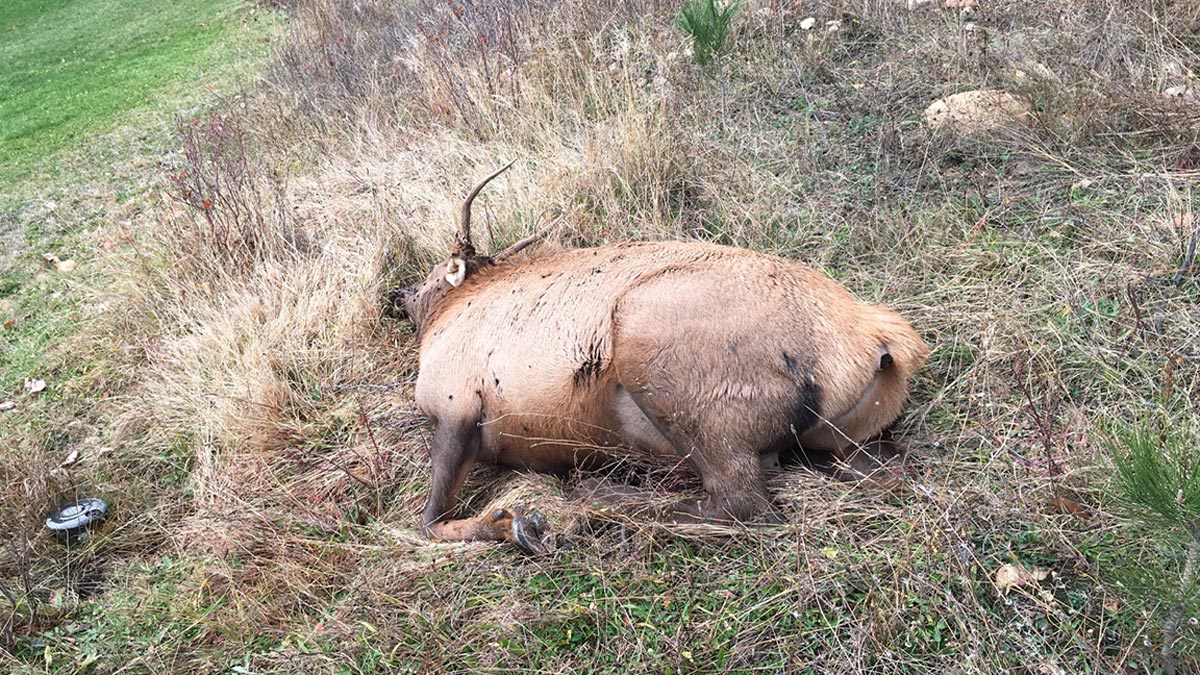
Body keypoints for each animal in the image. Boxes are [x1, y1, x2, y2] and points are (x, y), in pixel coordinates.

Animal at [393, 162, 930, 553]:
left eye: (437, 271)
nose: (402, 292)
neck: (444, 316)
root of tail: (880, 340)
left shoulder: (457, 404)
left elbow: (431, 521)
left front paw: (518, 523)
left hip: (646, 340)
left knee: (744, 504)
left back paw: (599, 496)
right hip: (848, 443)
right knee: (891, 469)